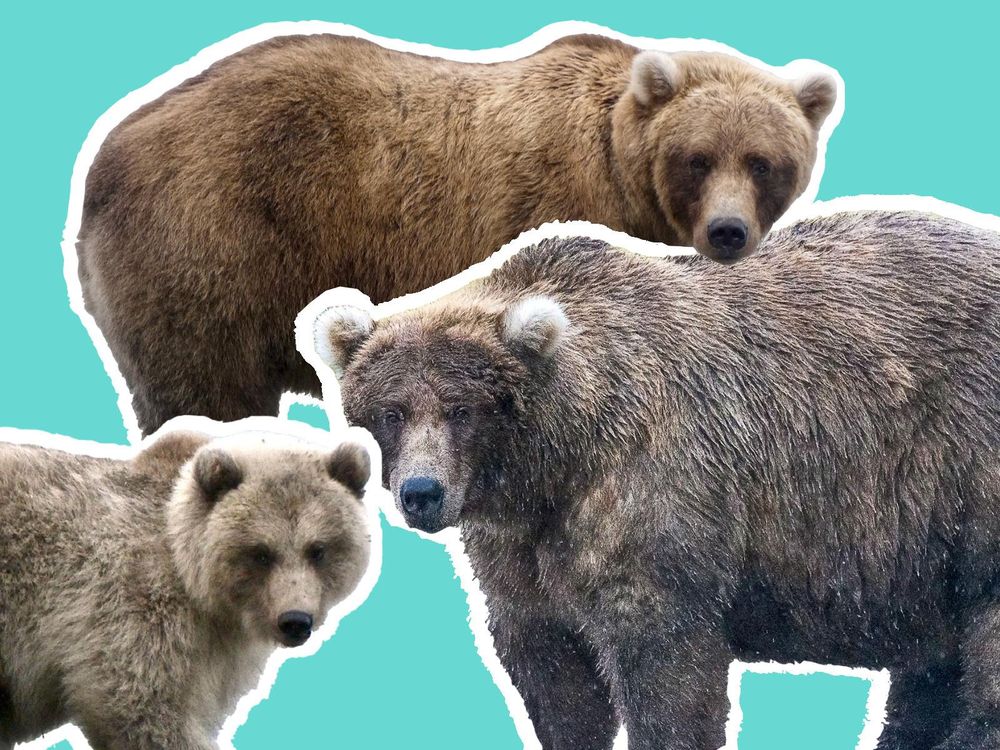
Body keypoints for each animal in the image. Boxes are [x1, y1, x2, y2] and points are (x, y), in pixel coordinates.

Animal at [74, 31, 838, 436]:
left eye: (763, 161)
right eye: (698, 158)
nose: (729, 230)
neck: (621, 167)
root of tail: (104, 157)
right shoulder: (547, 191)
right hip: (214, 243)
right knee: (206, 392)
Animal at [312, 211, 1000, 750]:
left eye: (462, 408)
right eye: (393, 411)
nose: (421, 493)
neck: (555, 462)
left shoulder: (655, 494)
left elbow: (666, 668)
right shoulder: (521, 553)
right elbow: (553, 675)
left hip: (964, 467)